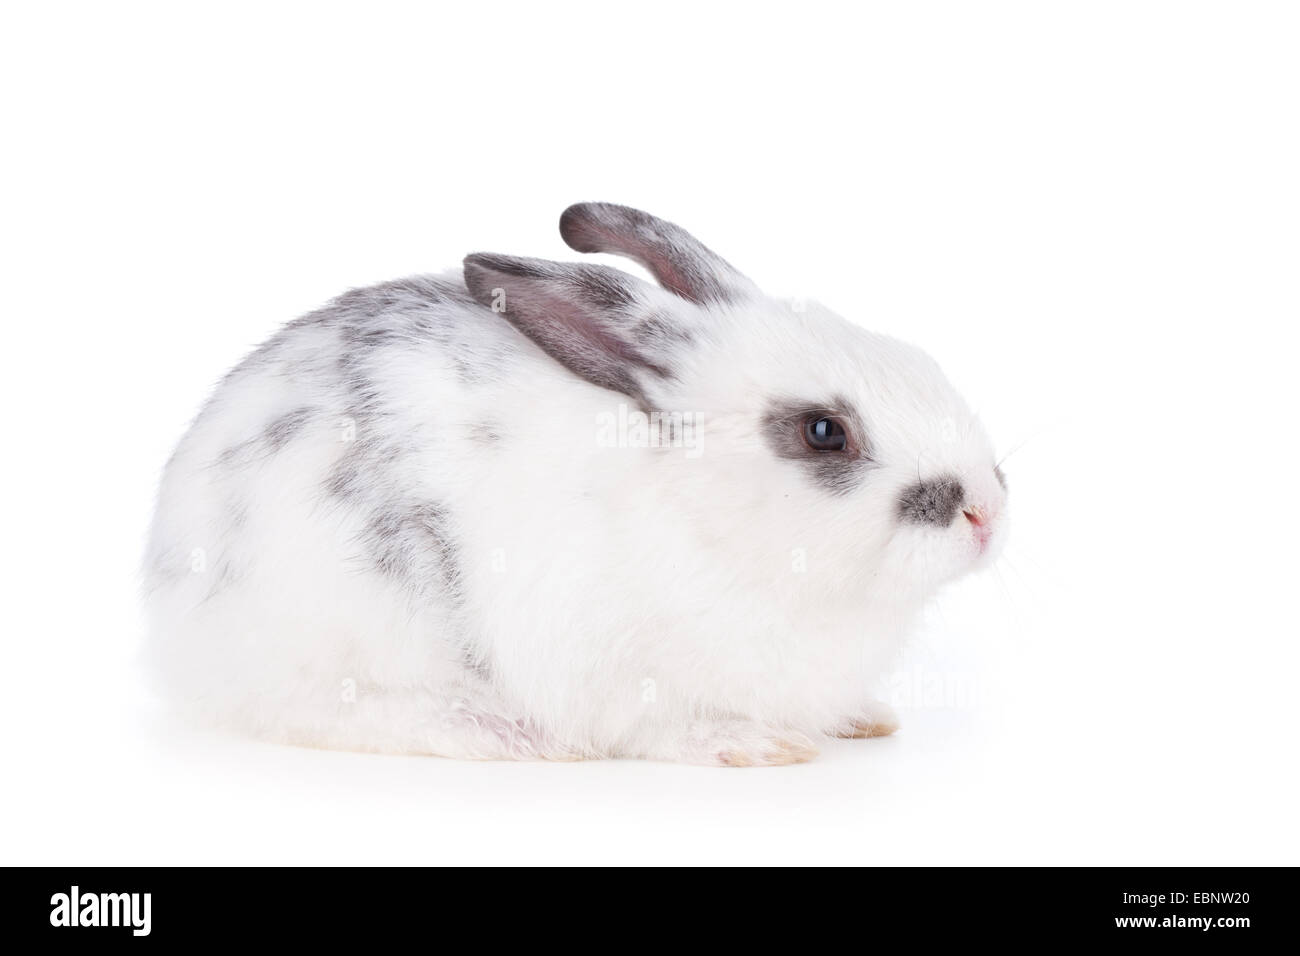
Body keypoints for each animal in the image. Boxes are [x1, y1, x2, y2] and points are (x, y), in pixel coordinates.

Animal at [143, 202, 1008, 767]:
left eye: (918, 361)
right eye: (823, 431)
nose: (986, 510)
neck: (707, 519)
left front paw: (862, 719)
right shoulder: (607, 671)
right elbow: (661, 728)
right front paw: (752, 744)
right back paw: (500, 734)